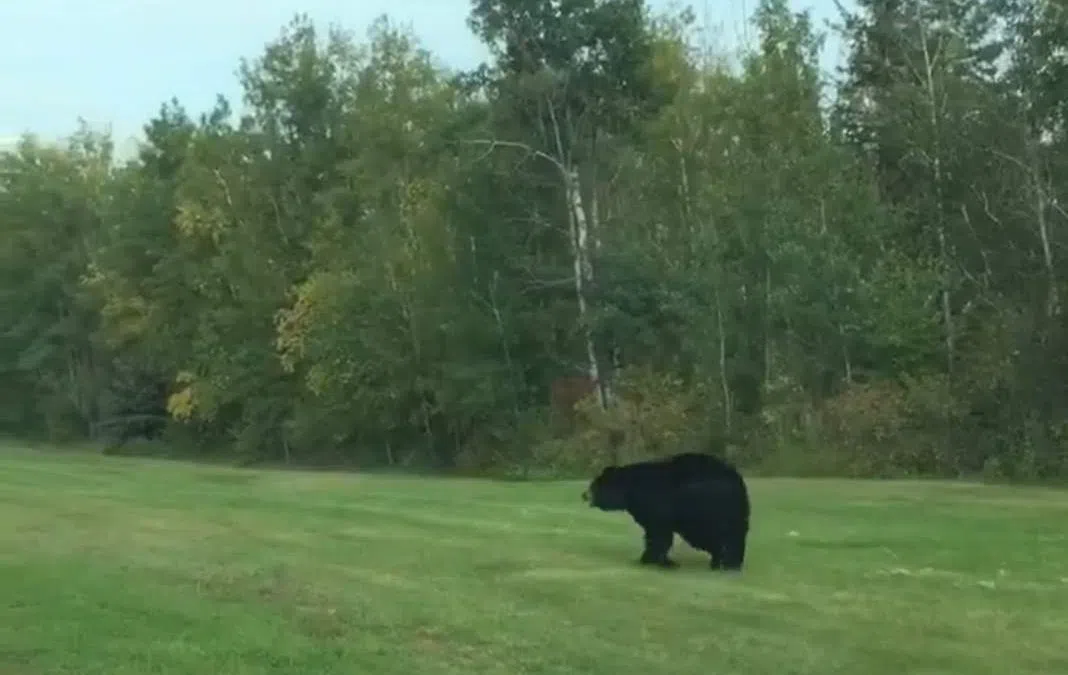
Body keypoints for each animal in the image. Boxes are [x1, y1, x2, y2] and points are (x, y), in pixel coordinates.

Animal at [582, 452, 750, 571]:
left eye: (594, 485)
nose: (583, 495)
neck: (630, 489)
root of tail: (739, 481)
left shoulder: (656, 503)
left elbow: (659, 534)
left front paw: (656, 561)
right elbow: (652, 532)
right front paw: (653, 559)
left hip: (707, 507)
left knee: (718, 535)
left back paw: (729, 564)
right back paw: (721, 562)